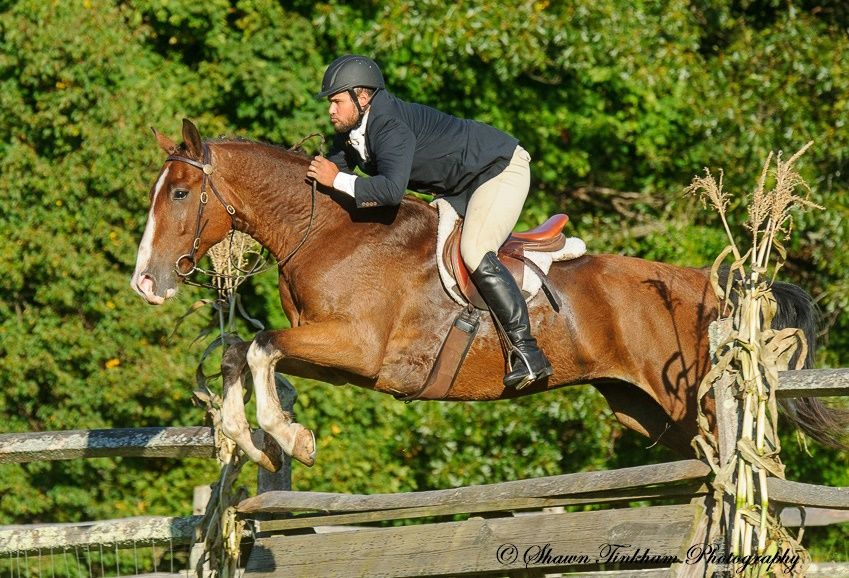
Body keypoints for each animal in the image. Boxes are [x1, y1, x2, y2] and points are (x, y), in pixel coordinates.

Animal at [131, 119, 847, 471]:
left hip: (696, 398)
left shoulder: (359, 348)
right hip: (652, 414)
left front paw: (291, 438)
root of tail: (715, 286)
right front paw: (250, 442)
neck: (328, 232)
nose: (145, 282)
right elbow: (241, 351)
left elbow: (257, 347)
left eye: (181, 193)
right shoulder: (331, 355)